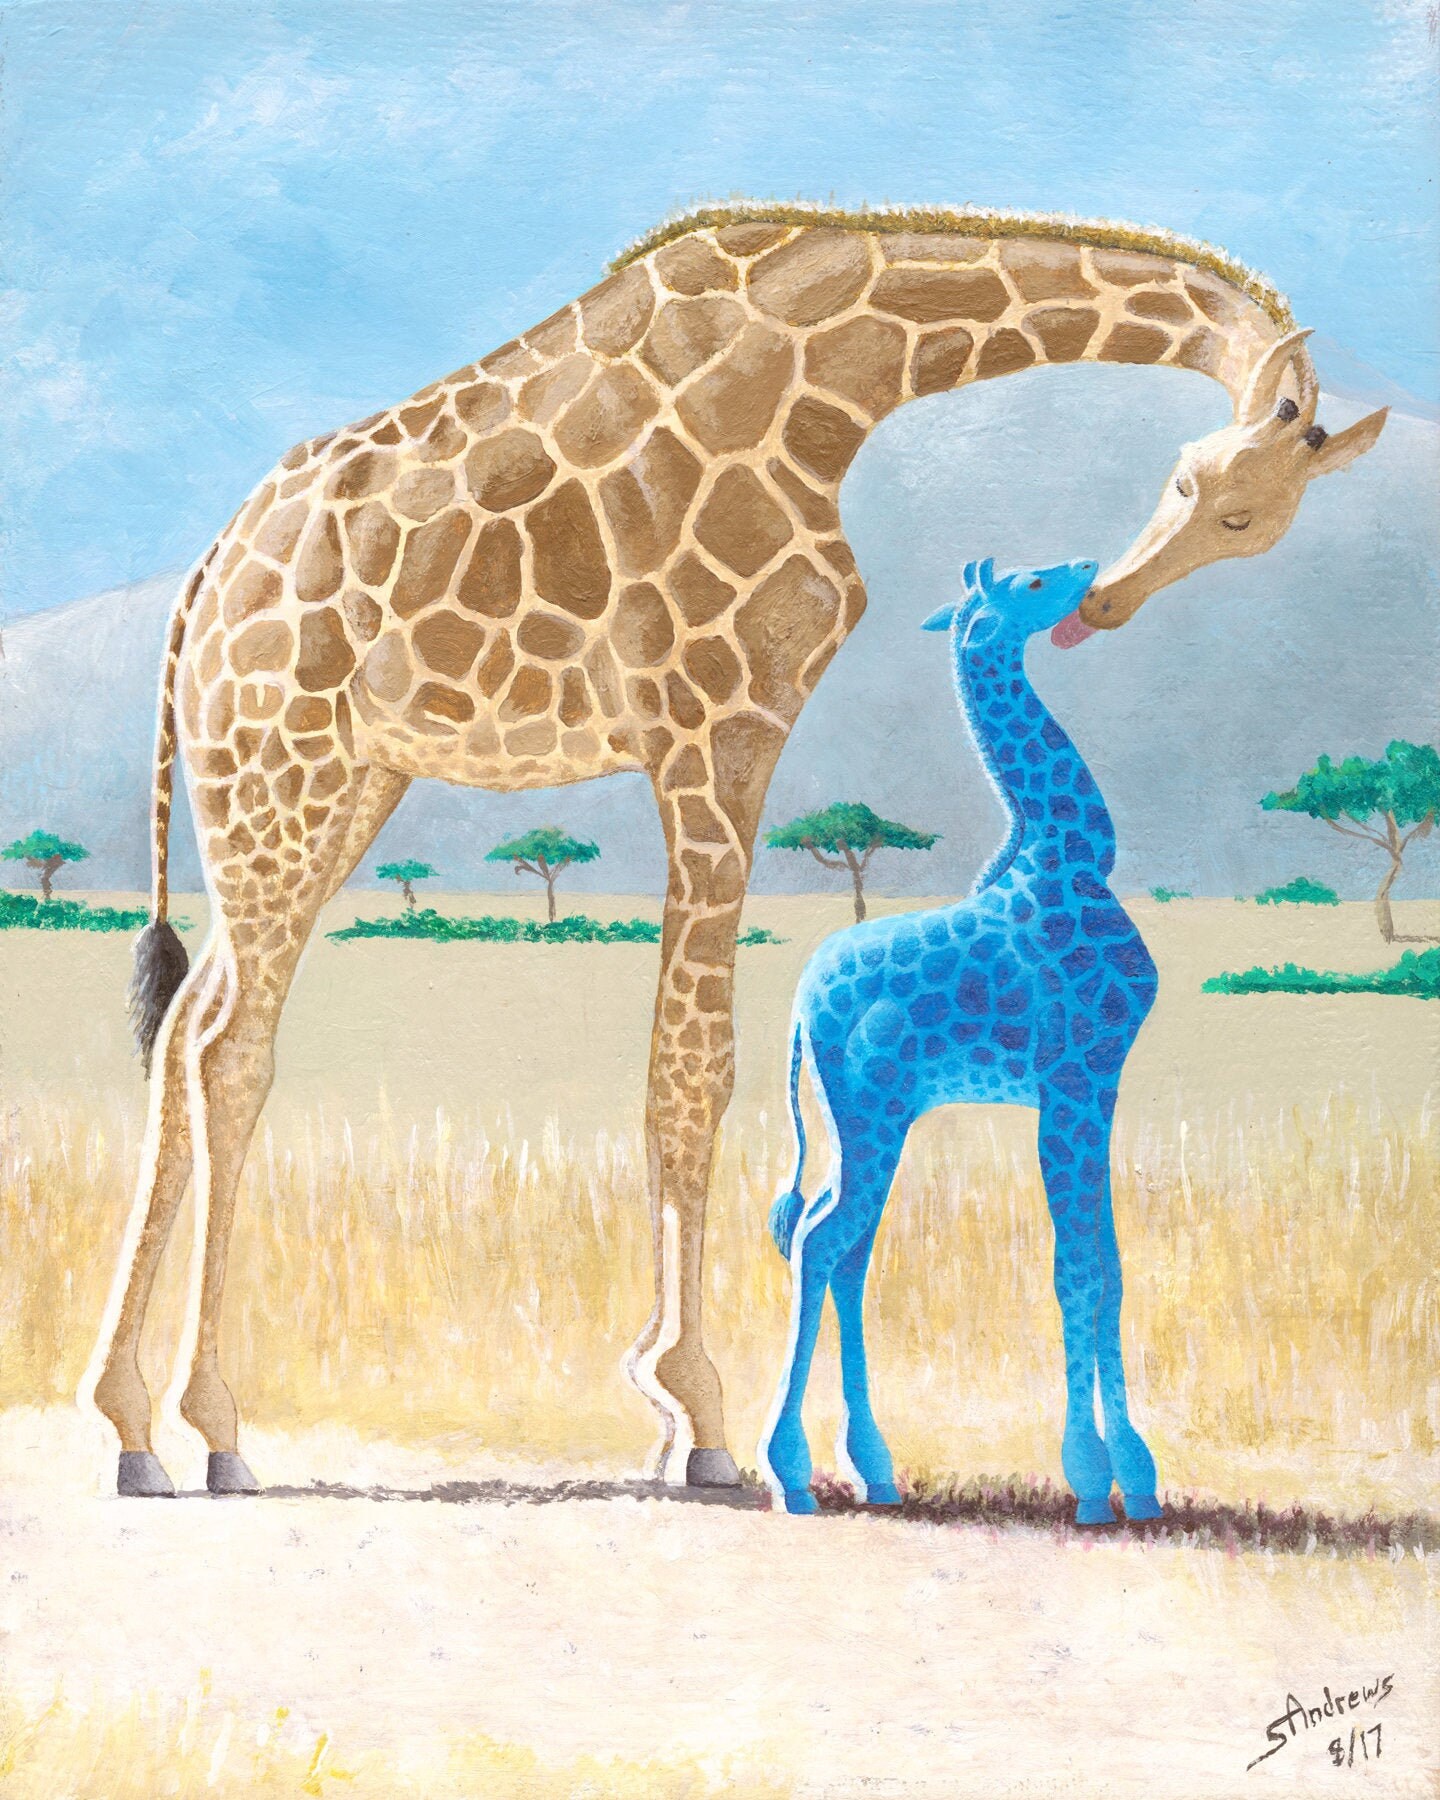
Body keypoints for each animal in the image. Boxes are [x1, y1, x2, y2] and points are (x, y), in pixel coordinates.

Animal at [760, 556, 1163, 1521]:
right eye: (1033, 580)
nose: (1090, 573)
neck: (1073, 856)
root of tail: (799, 1006)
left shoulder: (1101, 1082)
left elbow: (1110, 1263)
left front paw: (1138, 1478)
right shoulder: (1070, 1082)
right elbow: (1076, 1267)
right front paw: (1095, 1481)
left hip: (863, 1120)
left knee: (840, 1247)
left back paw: (873, 1471)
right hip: (871, 1115)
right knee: (823, 1242)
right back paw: (794, 1476)